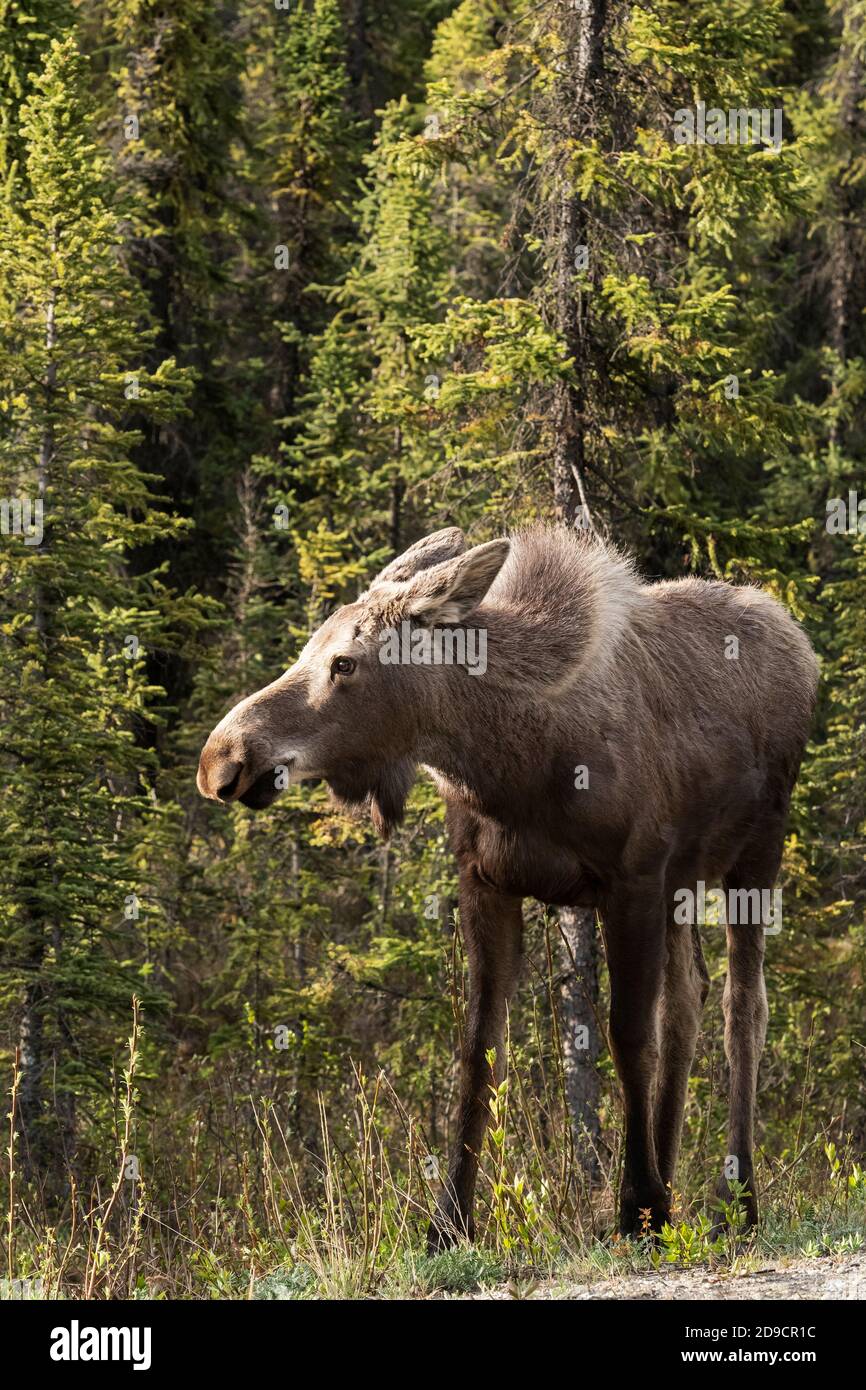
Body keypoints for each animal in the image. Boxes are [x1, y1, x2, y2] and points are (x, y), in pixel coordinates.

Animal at [197, 525, 819, 1248]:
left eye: (345, 663)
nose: (223, 759)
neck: (508, 762)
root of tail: (800, 642)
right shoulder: (486, 881)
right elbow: (479, 1049)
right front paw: (449, 1220)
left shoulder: (631, 878)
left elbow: (628, 1035)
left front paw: (638, 1206)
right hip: (683, 884)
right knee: (688, 1000)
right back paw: (674, 1180)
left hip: (756, 854)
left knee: (742, 1008)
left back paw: (736, 1199)